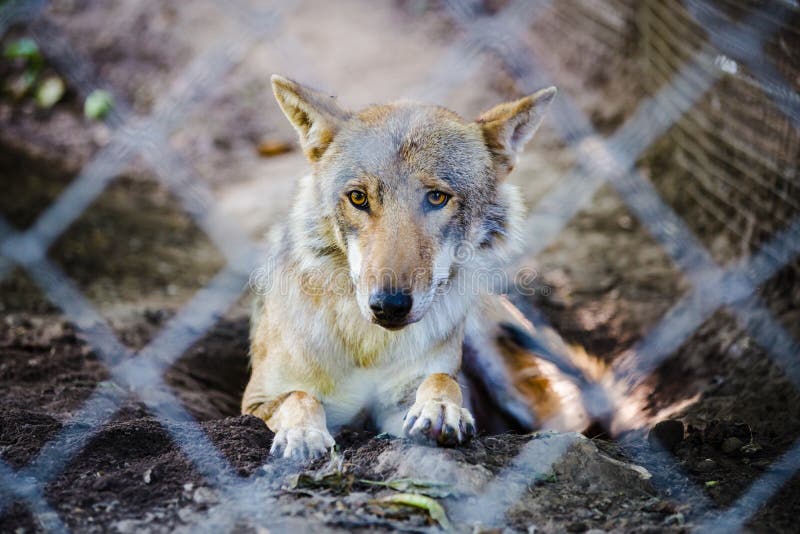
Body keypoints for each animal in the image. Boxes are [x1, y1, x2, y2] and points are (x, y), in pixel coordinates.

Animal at [242, 75, 568, 460]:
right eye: (358, 197)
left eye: (436, 197)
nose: (389, 306)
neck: (368, 346)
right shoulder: (254, 401)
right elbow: (299, 396)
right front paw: (302, 435)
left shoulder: (398, 407)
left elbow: (441, 379)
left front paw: (441, 409)